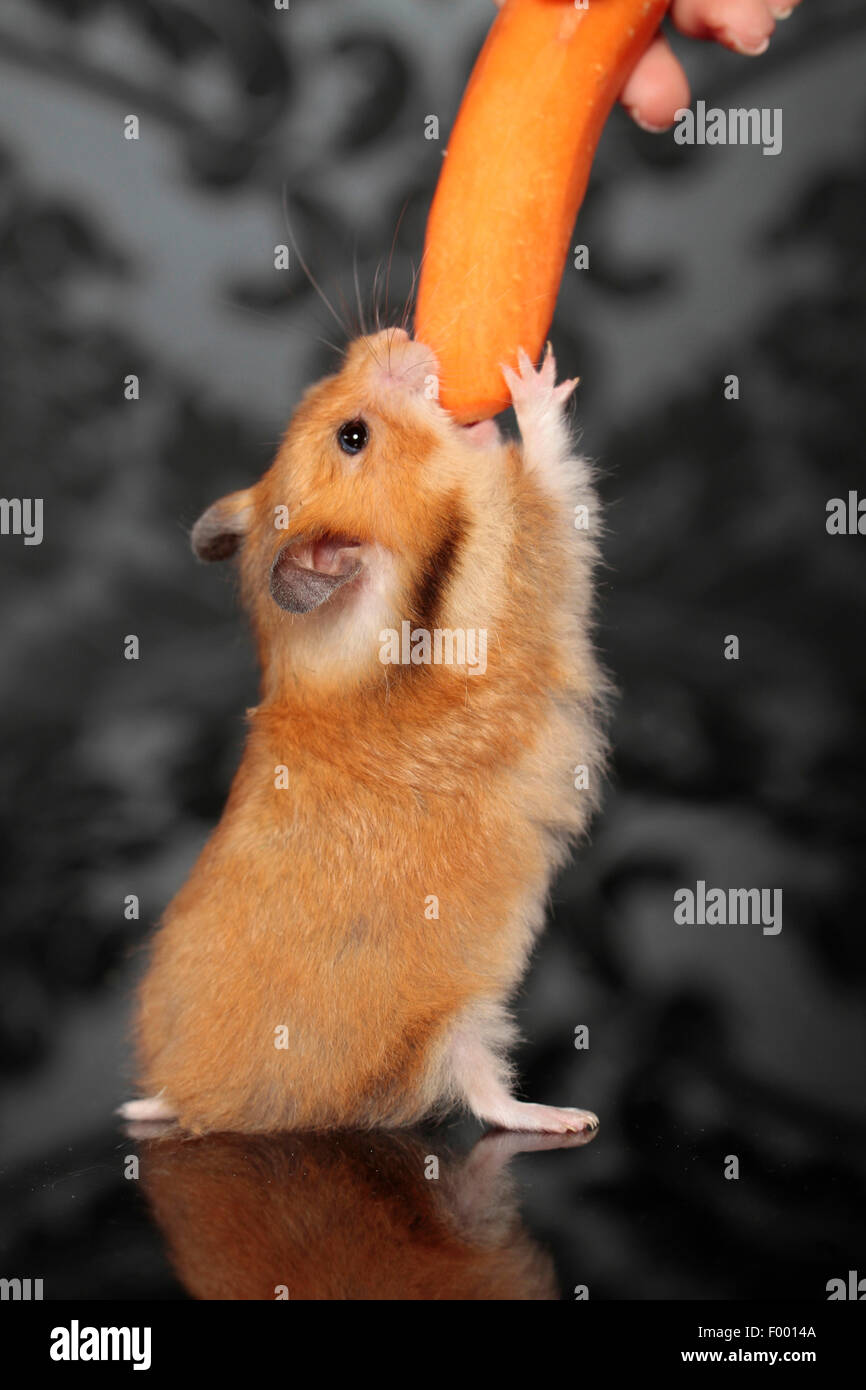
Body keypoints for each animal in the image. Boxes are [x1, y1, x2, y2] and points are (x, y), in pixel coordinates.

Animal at [123, 328, 607, 1136]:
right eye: (354, 437)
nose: (394, 336)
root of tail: (191, 1099)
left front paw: (483, 424)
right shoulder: (516, 563)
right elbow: (545, 481)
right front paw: (529, 384)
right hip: (456, 1018)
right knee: (484, 1094)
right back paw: (567, 1119)